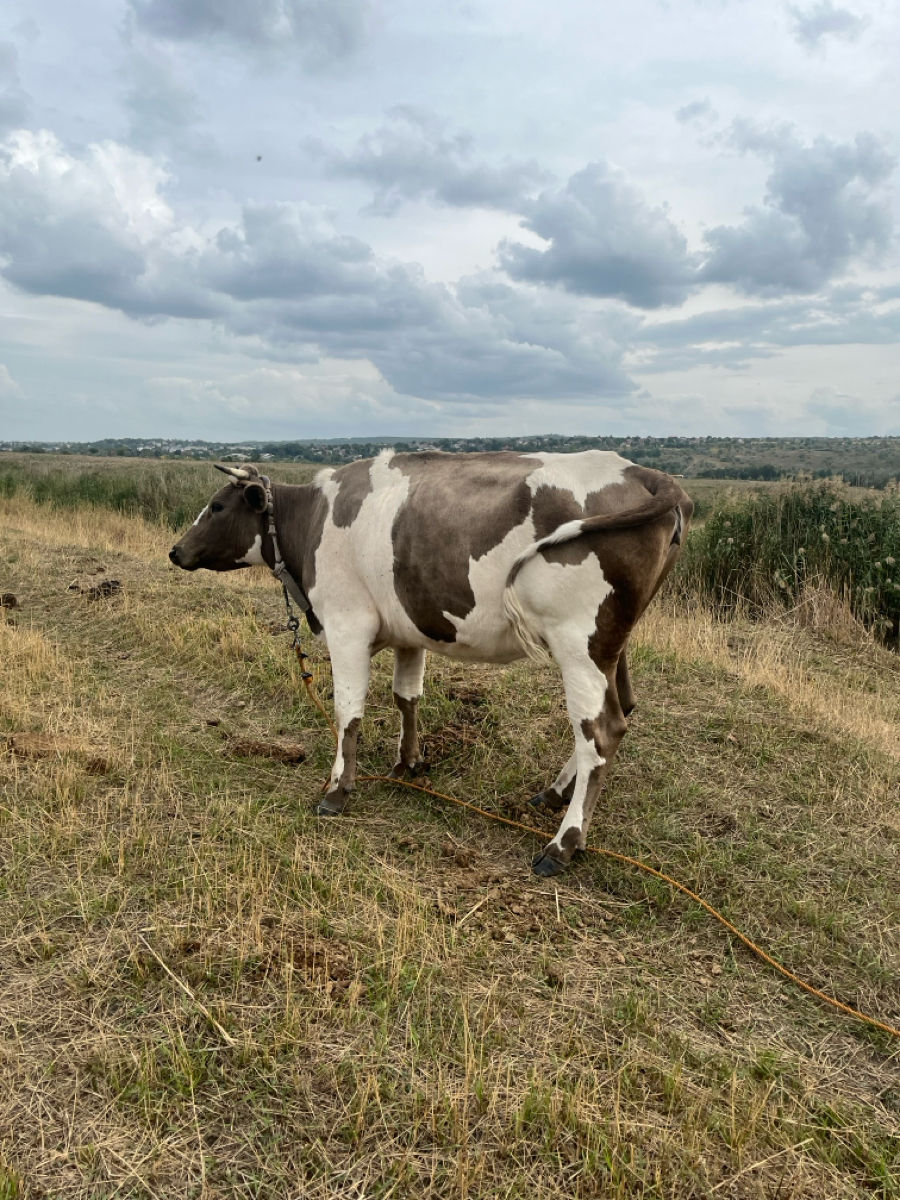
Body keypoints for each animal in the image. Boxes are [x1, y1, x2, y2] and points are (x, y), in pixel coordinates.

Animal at [169, 450, 692, 876]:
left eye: (217, 506)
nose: (175, 550)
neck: (313, 520)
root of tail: (646, 473)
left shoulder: (347, 625)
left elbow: (347, 712)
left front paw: (338, 790)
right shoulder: (408, 631)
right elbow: (406, 697)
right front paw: (408, 762)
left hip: (578, 644)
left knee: (599, 733)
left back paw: (563, 844)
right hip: (611, 646)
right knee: (621, 712)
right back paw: (554, 792)